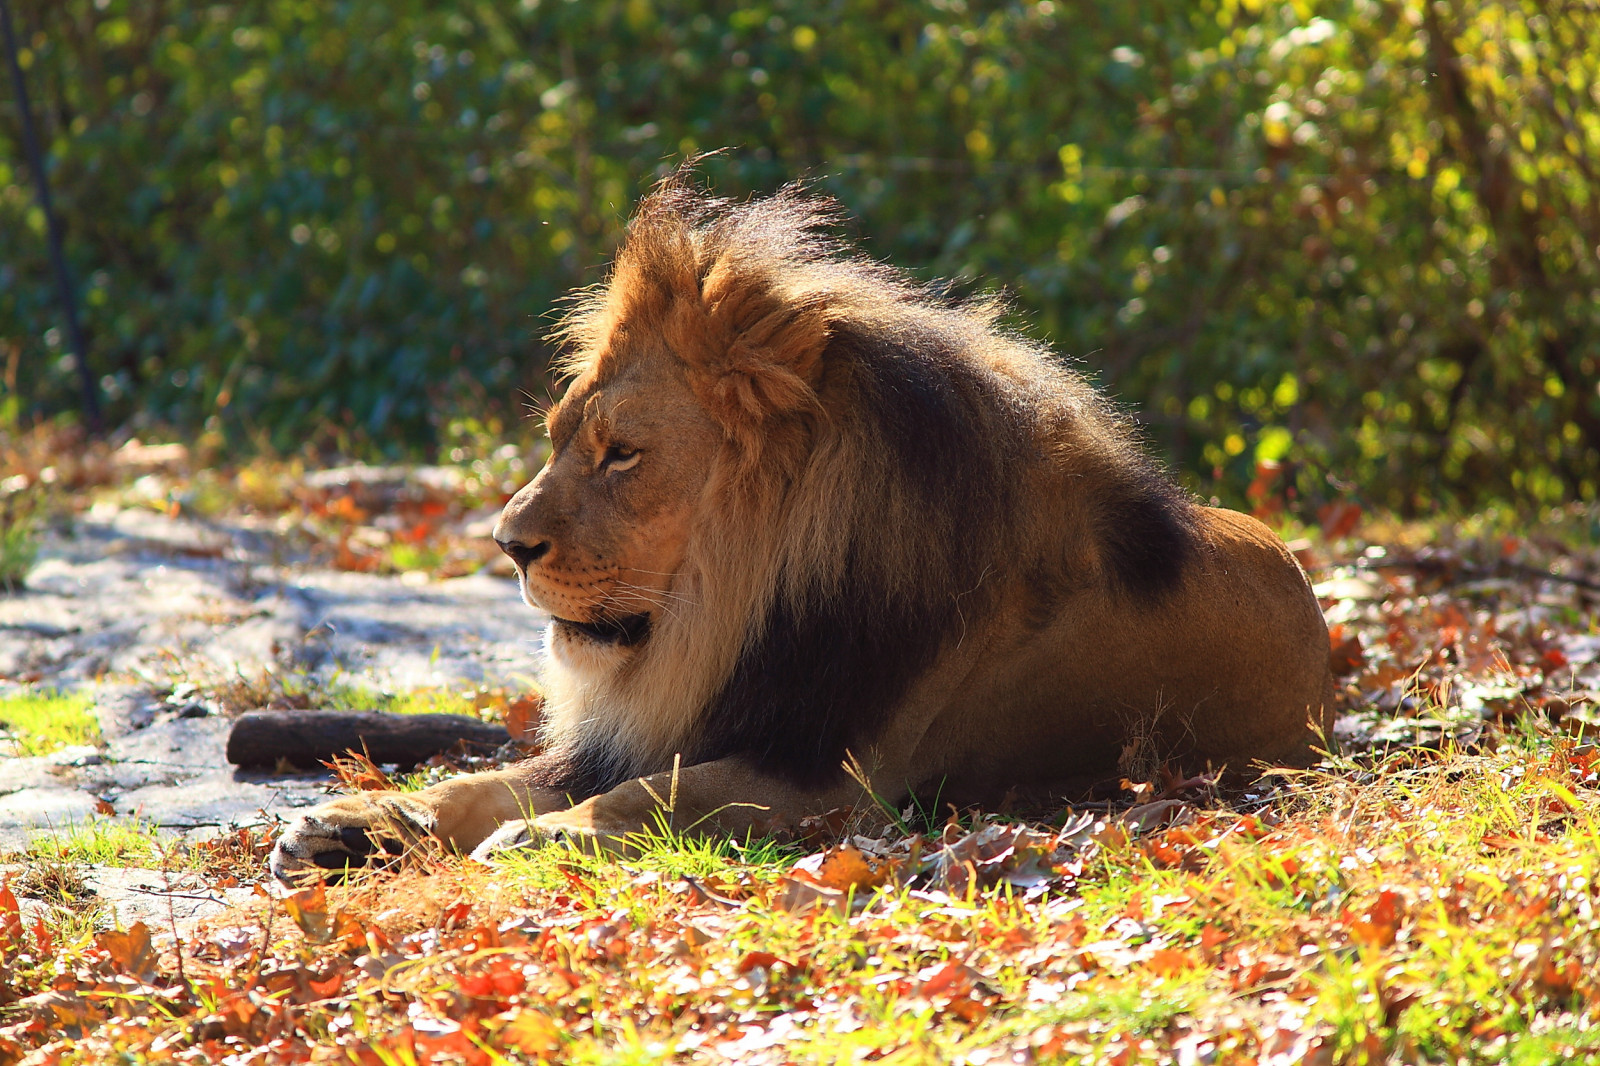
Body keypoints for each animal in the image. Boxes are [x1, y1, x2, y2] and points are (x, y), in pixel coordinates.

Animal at [270, 178, 1334, 881]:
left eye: (622, 454)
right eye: (561, 439)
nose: (507, 544)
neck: (726, 608)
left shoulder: (838, 783)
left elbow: (660, 793)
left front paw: (546, 836)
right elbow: (489, 781)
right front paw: (361, 819)